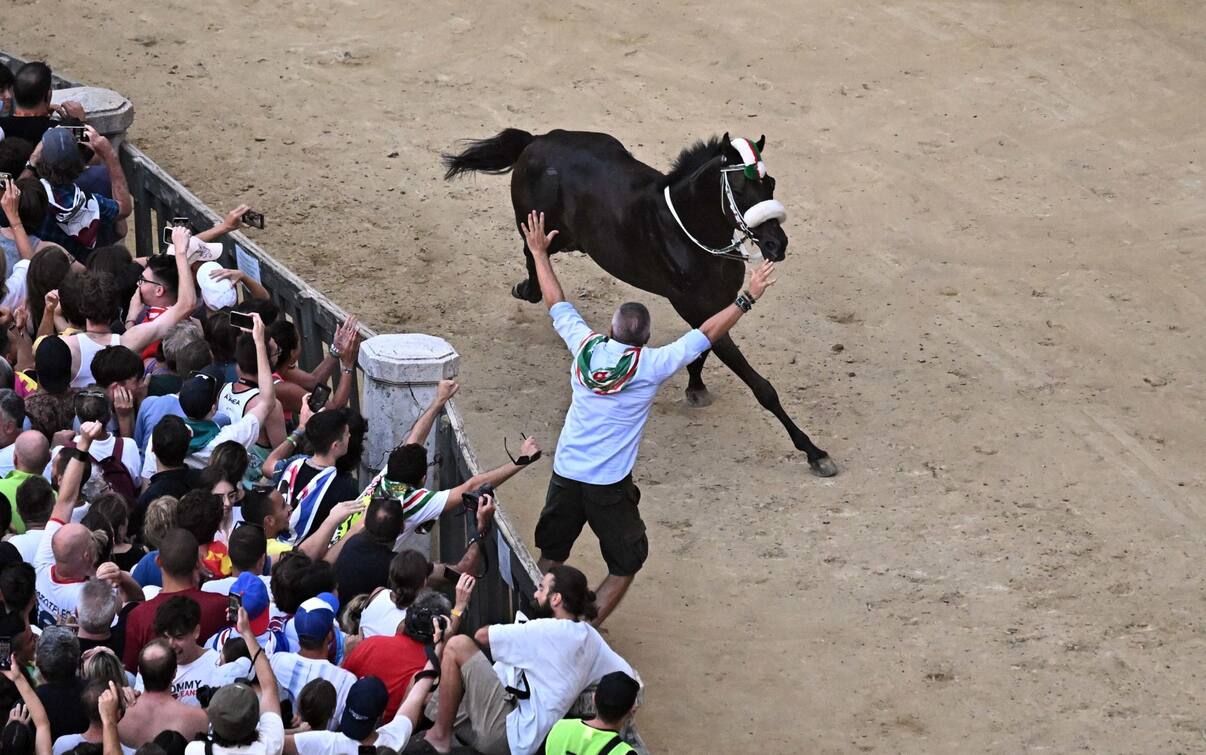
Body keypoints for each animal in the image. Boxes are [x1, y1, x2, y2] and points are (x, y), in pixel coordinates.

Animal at [443, 129, 838, 477]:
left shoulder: (715, 304)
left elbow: (705, 346)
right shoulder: (692, 303)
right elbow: (759, 385)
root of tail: (536, 140)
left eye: (770, 184)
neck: (689, 231)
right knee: (533, 253)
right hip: (544, 226)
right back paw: (526, 287)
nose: (776, 245)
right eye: (739, 189)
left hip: (574, 238)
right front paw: (815, 453)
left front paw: (695, 386)